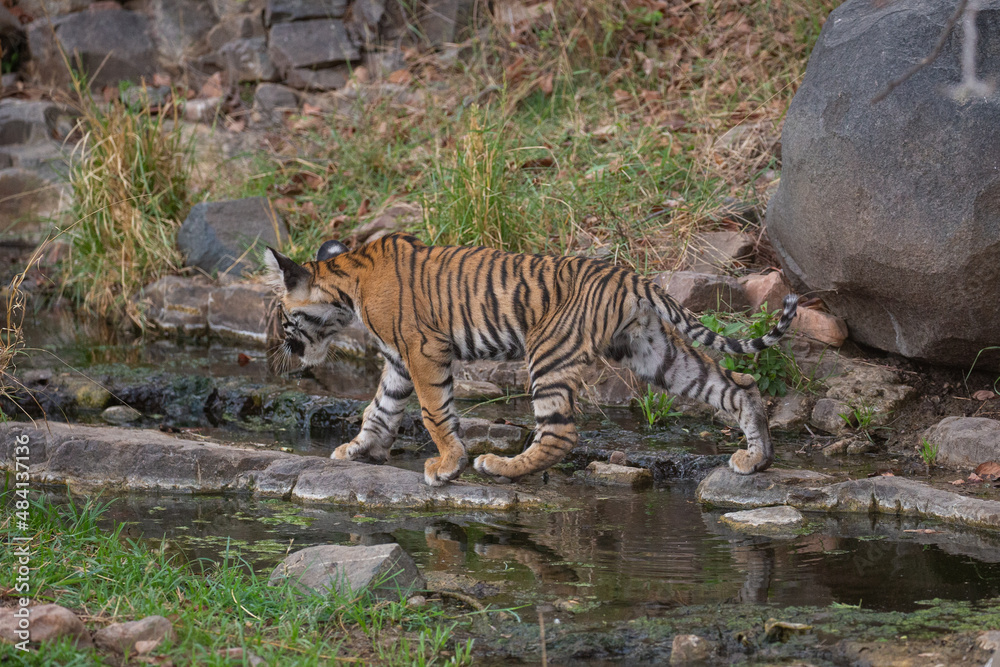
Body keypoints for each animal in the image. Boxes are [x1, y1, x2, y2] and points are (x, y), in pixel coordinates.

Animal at [264, 233, 798, 487]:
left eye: (280, 318)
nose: (275, 352)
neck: (346, 286)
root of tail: (632, 278)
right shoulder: (399, 361)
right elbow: (379, 408)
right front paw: (356, 450)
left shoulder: (423, 351)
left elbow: (434, 412)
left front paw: (448, 465)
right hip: (654, 353)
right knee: (738, 384)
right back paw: (756, 458)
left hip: (549, 355)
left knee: (560, 433)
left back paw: (498, 467)